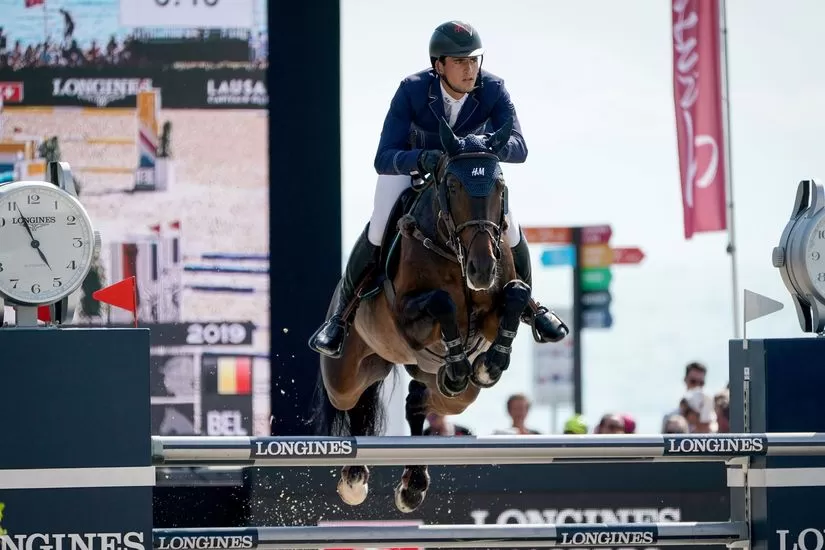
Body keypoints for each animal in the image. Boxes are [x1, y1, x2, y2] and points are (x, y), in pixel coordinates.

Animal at [312, 118, 532, 516]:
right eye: (453, 185)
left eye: (500, 185)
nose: (481, 269)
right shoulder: (407, 318)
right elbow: (442, 303)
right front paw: (462, 363)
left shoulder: (493, 311)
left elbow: (516, 295)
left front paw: (488, 364)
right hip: (345, 377)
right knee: (355, 404)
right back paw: (355, 479)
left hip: (448, 392)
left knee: (422, 401)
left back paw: (413, 483)